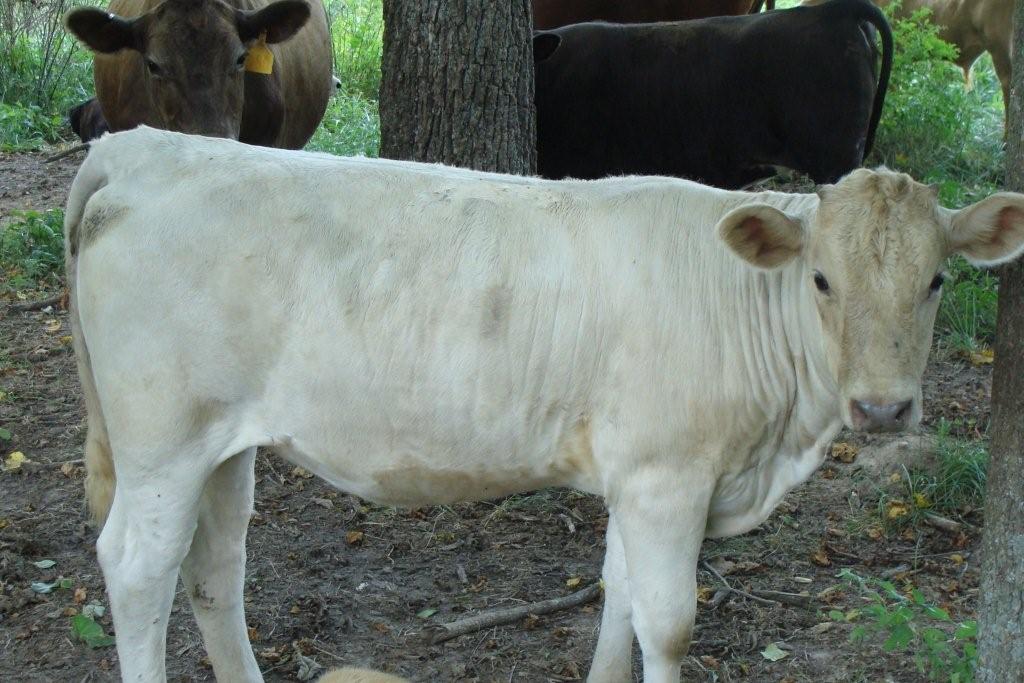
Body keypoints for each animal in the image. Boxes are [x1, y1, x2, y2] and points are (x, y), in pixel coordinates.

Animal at [65, 126, 1024, 682]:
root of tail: (144, 143)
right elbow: (667, 623)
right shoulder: (668, 476)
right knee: (139, 567)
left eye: (937, 280)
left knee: (215, 569)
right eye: (822, 279)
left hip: (223, 445)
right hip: (162, 439)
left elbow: (617, 592)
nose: (884, 409)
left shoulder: (635, 473)